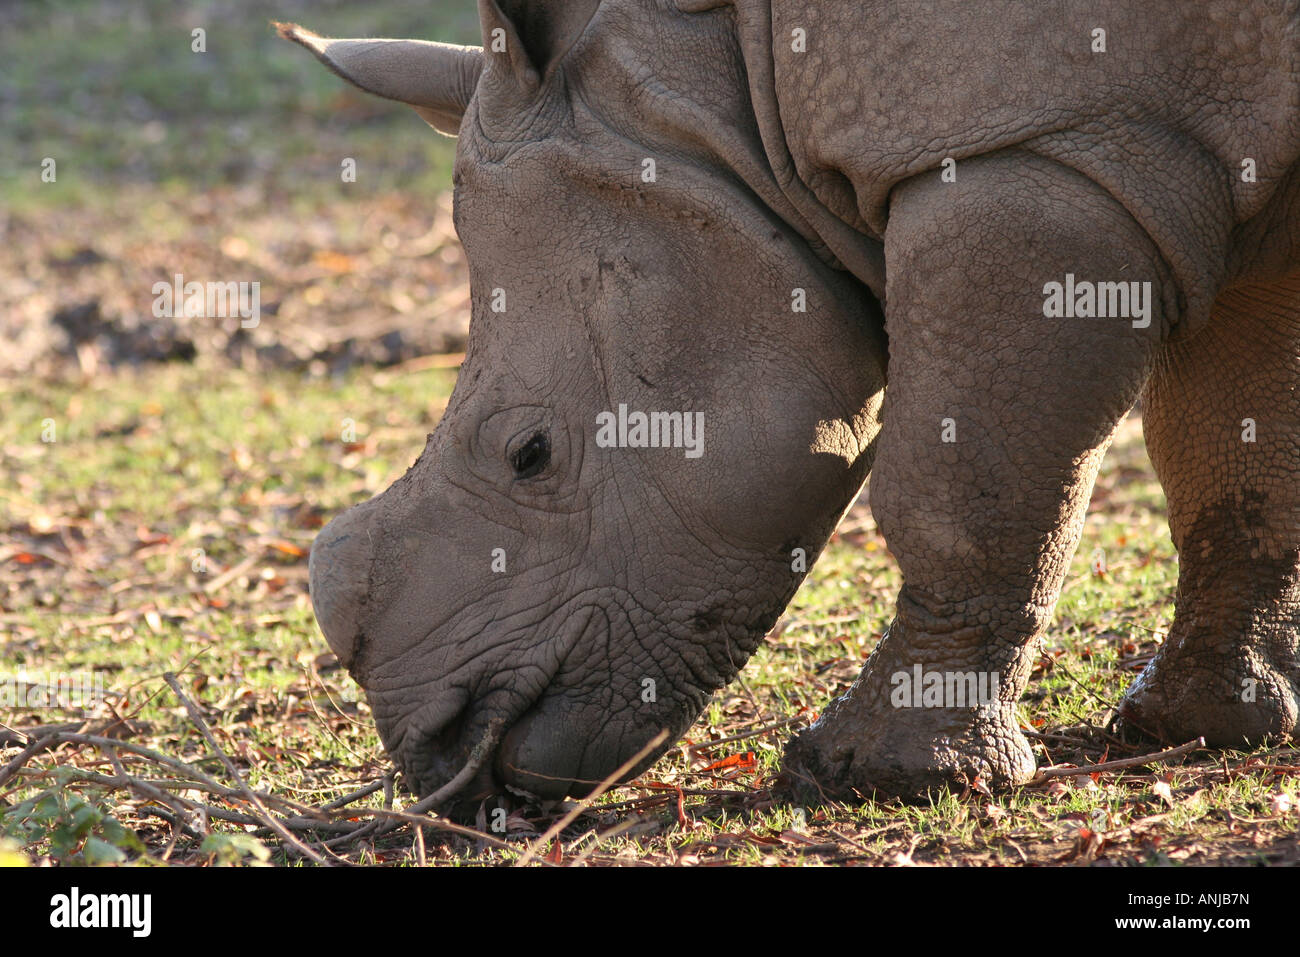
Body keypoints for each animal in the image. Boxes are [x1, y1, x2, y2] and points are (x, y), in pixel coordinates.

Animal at [284, 0, 1300, 805]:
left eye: (529, 454)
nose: (436, 752)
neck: (725, 107)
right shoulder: (1191, 175)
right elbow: (1239, 455)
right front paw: (1205, 721)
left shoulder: (1032, 144)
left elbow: (965, 489)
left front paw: (875, 776)